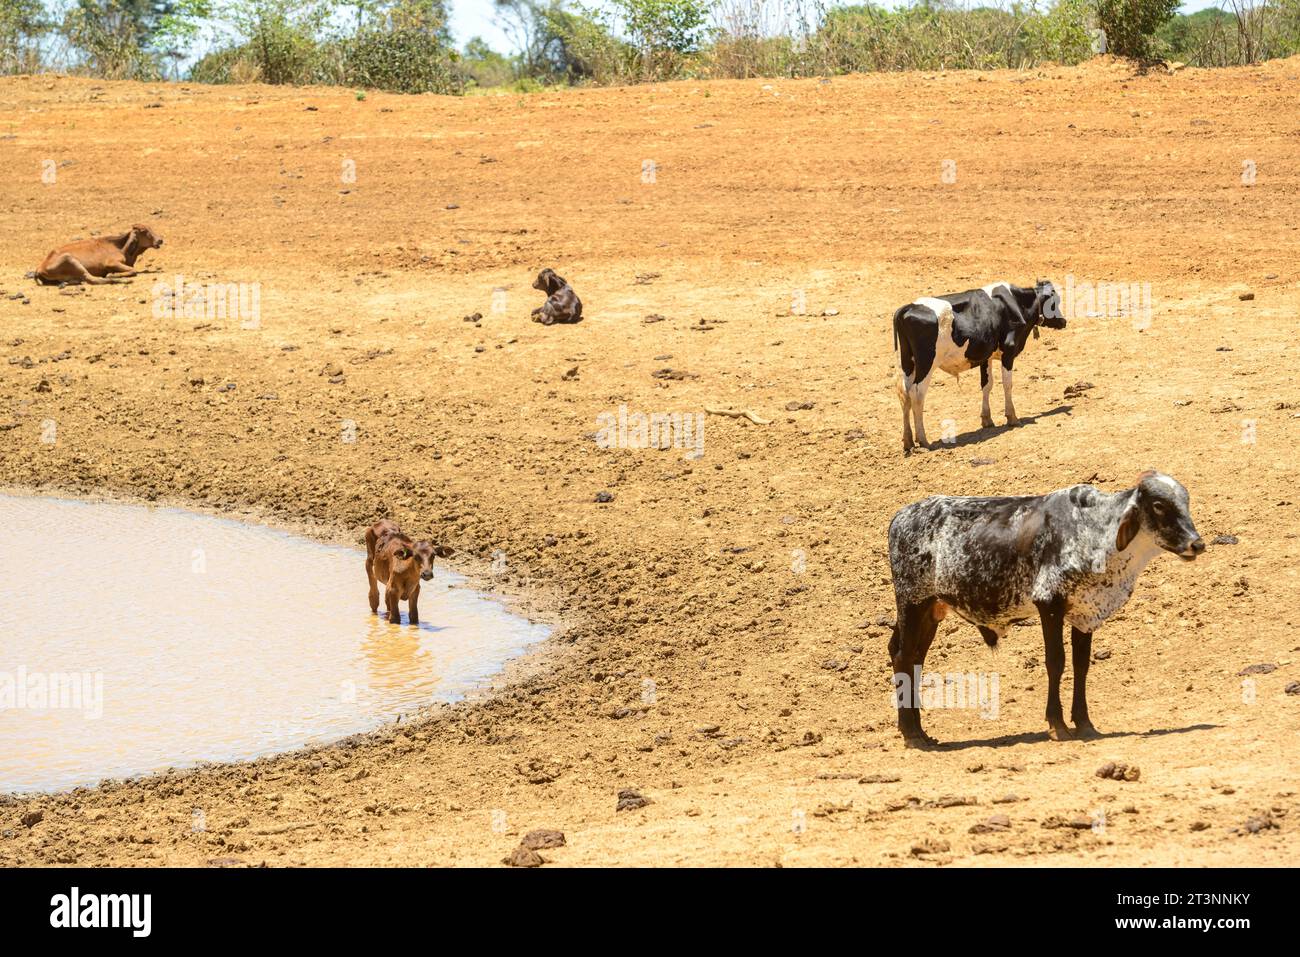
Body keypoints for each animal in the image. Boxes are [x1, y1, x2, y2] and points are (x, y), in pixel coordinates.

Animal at [35, 224, 164, 285]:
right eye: (144, 231)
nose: (160, 240)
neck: (119, 247)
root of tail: (39, 268)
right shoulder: (111, 263)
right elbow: (133, 271)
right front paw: (114, 275)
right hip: (71, 260)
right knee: (93, 279)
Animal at [886, 471, 1204, 747]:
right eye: (1159, 505)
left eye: (1185, 501)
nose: (1196, 544)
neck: (1095, 530)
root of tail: (901, 516)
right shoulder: (1049, 604)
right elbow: (1056, 662)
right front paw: (1058, 725)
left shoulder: (1084, 611)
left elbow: (1081, 664)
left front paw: (1085, 723)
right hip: (913, 602)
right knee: (903, 657)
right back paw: (912, 734)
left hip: (931, 611)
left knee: (913, 659)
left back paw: (918, 730)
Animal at [892, 280, 1065, 453]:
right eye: (1054, 302)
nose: (1064, 322)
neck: (1016, 302)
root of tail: (908, 308)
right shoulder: (1008, 353)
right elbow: (1007, 385)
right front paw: (1012, 417)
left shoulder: (986, 356)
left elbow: (987, 385)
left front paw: (987, 419)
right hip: (927, 364)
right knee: (917, 394)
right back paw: (923, 439)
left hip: (908, 363)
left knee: (904, 394)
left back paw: (908, 441)